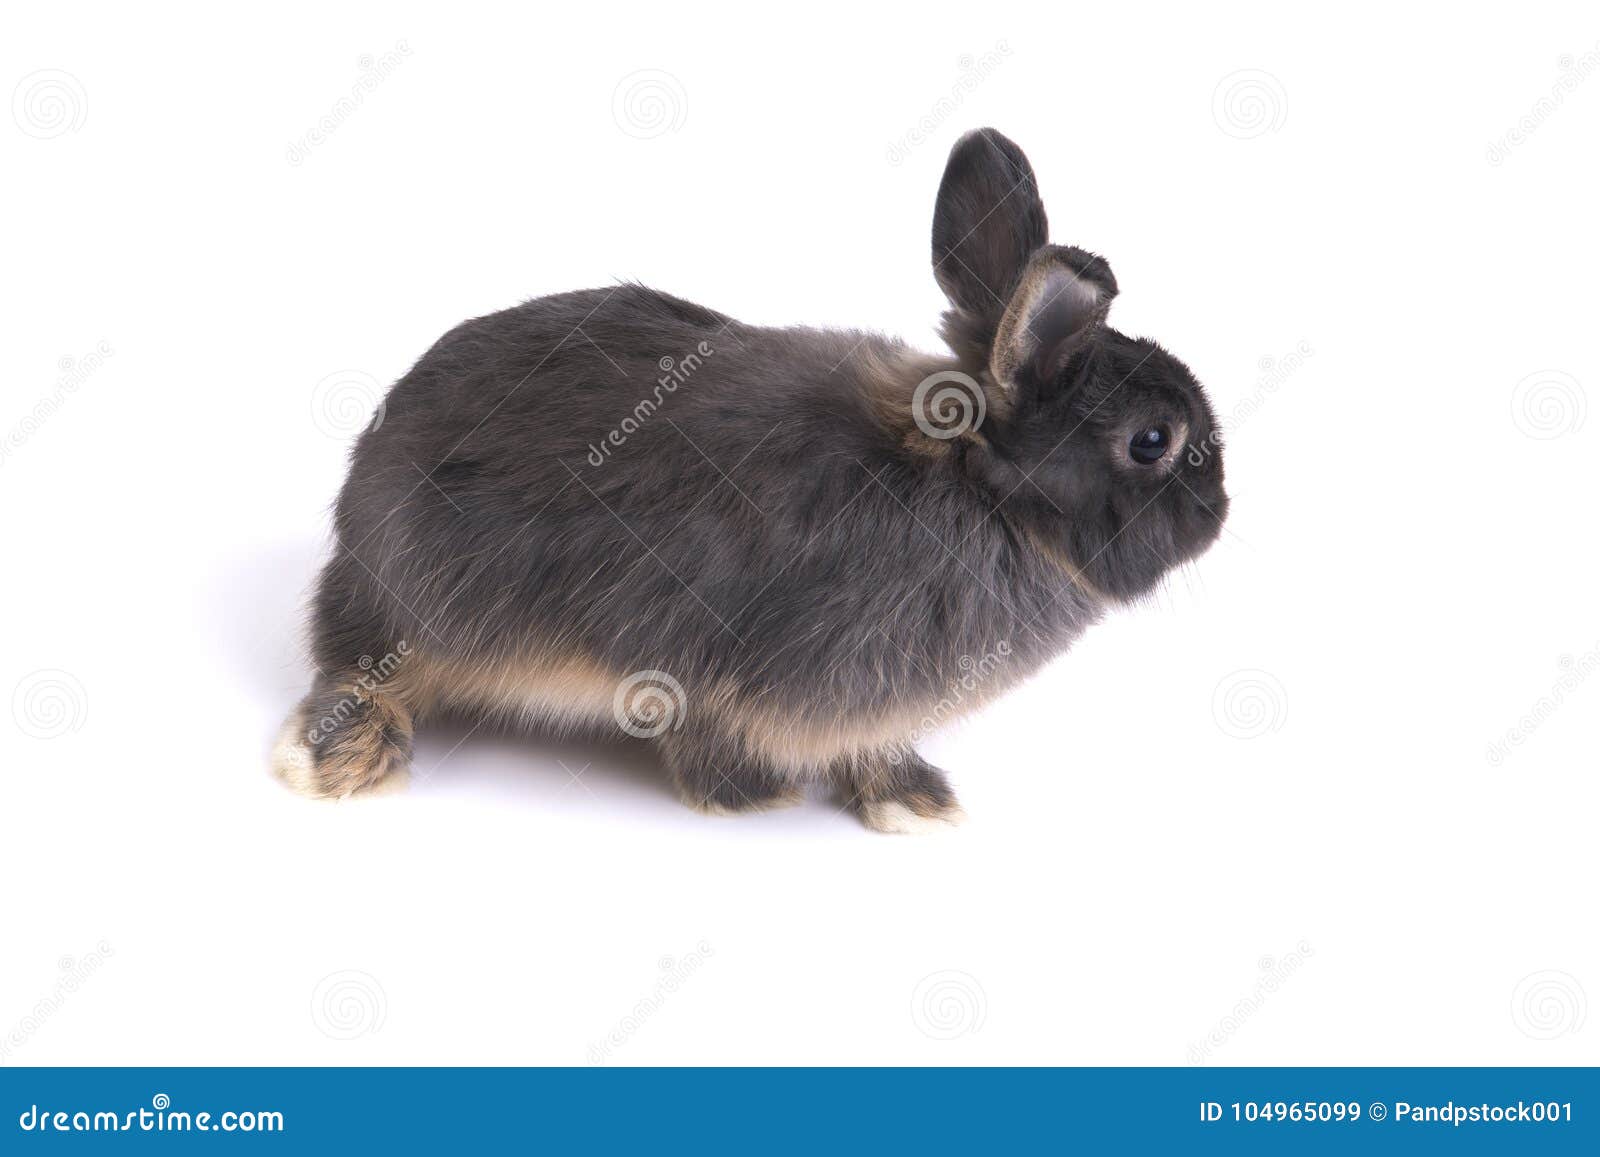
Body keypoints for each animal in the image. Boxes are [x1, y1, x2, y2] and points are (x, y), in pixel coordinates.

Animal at [272, 127, 1229, 832]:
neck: (972, 490)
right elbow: (719, 733)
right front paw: (759, 798)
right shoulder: (734, 668)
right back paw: (337, 760)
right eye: (1153, 441)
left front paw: (913, 797)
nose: (1219, 513)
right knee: (361, 675)